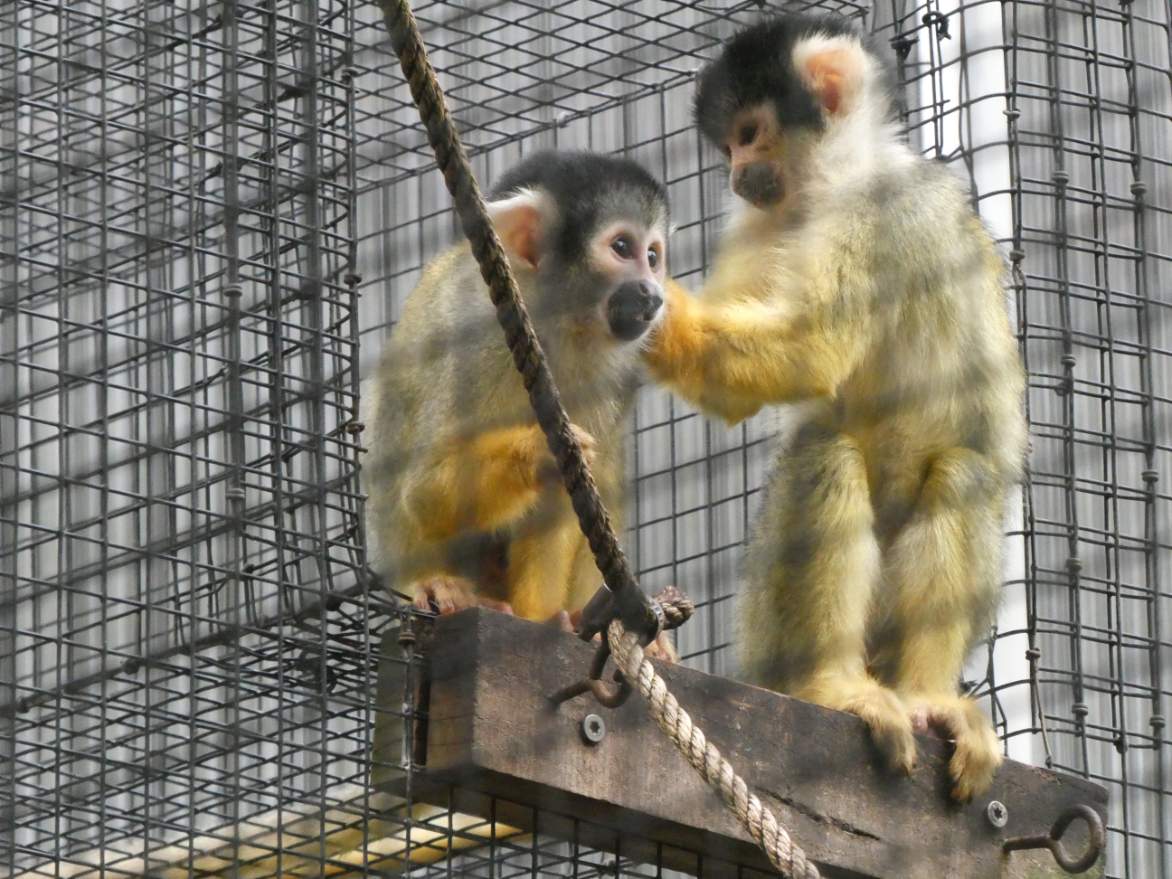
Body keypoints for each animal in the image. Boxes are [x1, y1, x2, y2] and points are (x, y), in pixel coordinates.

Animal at [364, 150, 678, 658]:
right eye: (622, 247)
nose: (653, 293)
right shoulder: (478, 342)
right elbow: (424, 491)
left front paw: (543, 620)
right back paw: (444, 588)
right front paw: (541, 453)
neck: (551, 320)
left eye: (653, 256)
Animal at [645, 14, 1027, 800]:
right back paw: (829, 683)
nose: (736, 172)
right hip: (762, 634)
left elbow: (810, 349)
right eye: (727, 146)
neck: (841, 179)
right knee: (827, 447)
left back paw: (917, 693)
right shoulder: (760, 221)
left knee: (962, 470)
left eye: (750, 133)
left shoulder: (882, 207)